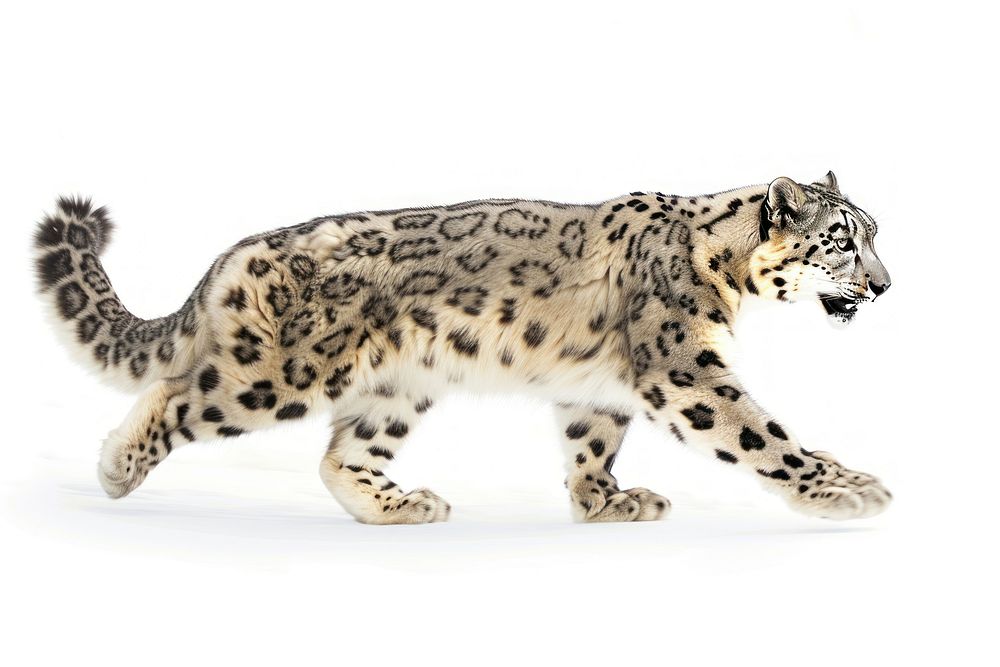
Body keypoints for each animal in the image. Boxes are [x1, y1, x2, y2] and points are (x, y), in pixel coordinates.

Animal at [32, 172, 892, 524]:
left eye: (875, 233)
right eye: (843, 240)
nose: (885, 285)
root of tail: (235, 252)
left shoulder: (602, 386)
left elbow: (591, 442)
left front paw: (606, 502)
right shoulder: (682, 366)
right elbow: (760, 434)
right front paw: (845, 488)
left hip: (396, 389)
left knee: (341, 456)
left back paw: (401, 505)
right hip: (279, 374)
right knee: (181, 393)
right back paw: (116, 467)